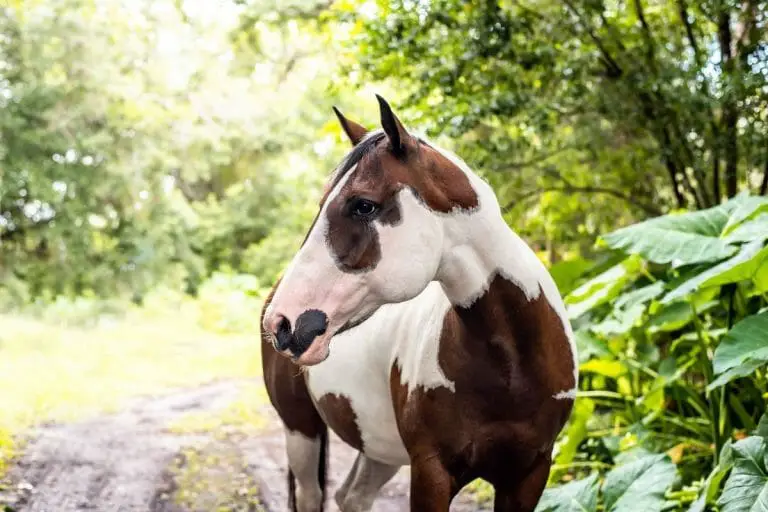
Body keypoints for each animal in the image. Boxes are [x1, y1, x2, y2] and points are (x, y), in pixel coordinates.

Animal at [260, 95, 577, 512]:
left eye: (363, 205)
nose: (280, 321)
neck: (512, 368)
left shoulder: (530, 474)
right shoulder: (431, 470)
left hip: (377, 446)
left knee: (352, 496)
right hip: (300, 430)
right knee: (312, 495)